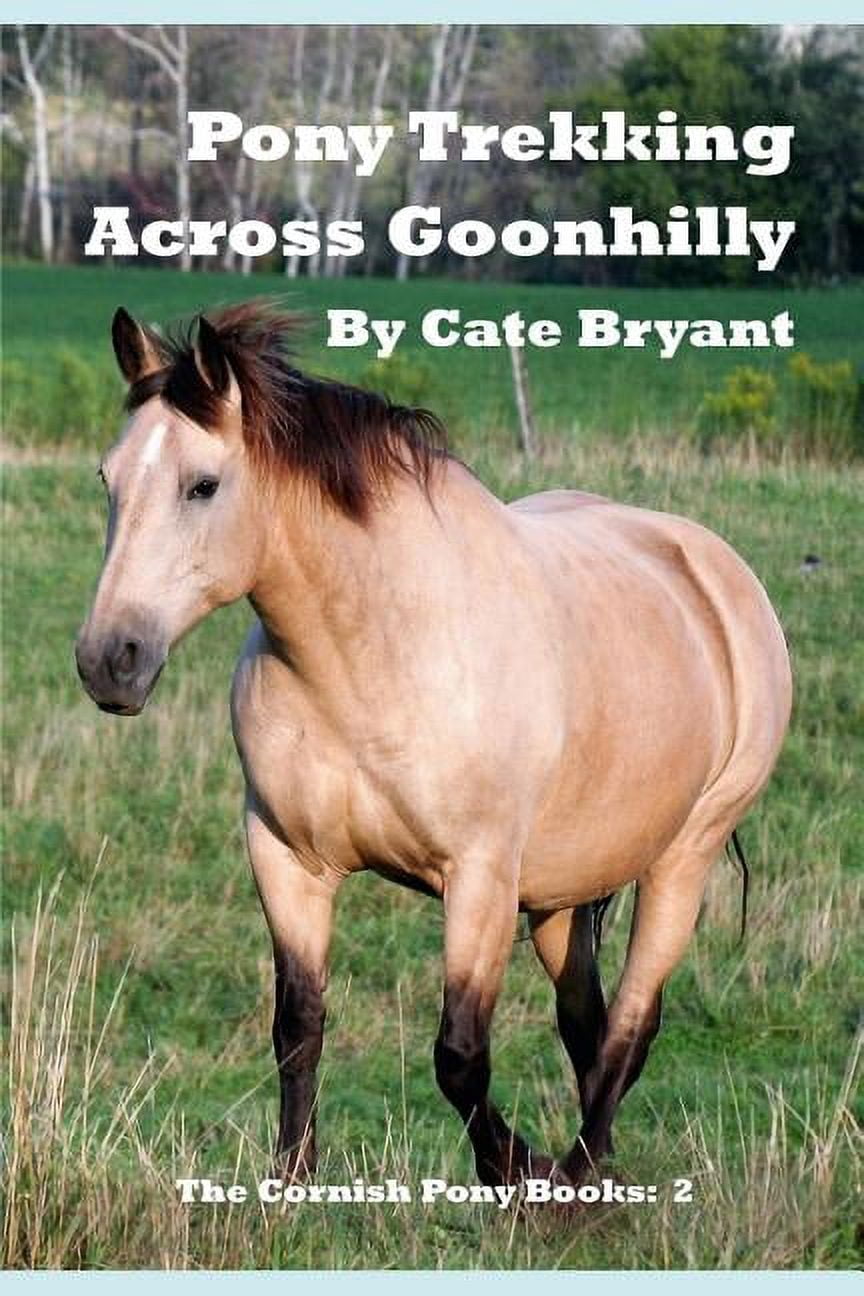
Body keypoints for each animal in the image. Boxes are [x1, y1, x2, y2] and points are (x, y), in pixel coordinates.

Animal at [75, 302, 792, 1188]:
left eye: (202, 485)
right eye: (107, 479)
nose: (110, 660)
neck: (371, 657)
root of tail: (717, 572)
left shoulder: (477, 879)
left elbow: (459, 1055)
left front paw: (513, 1169)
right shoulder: (285, 858)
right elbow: (298, 1026)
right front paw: (292, 1182)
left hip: (682, 859)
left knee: (631, 1028)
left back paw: (575, 1179)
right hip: (559, 893)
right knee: (588, 1027)